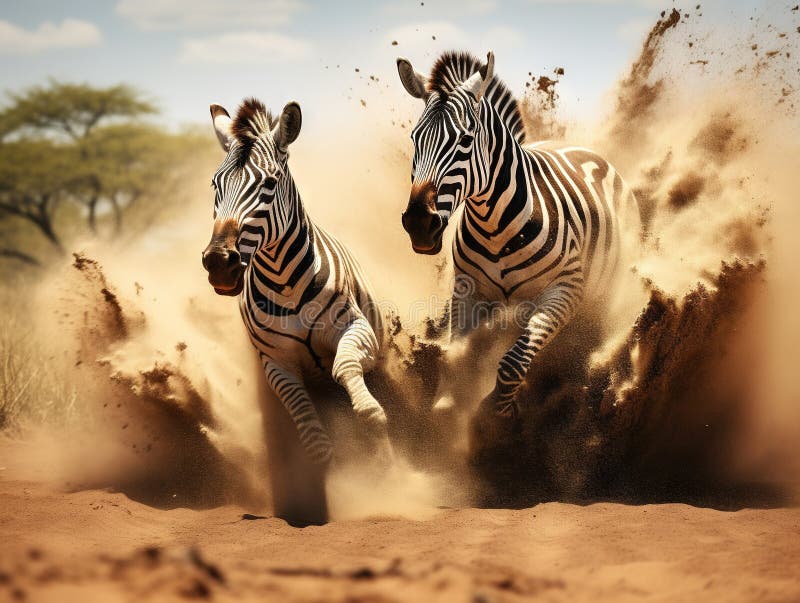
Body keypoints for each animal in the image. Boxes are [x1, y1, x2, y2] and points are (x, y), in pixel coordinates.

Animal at [201, 98, 389, 468]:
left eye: (270, 184)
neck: (284, 282)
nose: (218, 263)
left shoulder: (358, 330)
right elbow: (313, 439)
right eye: (215, 185)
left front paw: (385, 452)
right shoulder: (276, 363)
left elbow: (348, 372)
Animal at [396, 51, 640, 419]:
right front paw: (449, 406)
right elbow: (456, 359)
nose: (418, 224)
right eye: (415, 139)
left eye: (465, 141)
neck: (494, 227)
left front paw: (496, 418)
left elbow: (512, 363)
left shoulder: (566, 289)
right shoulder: (468, 291)